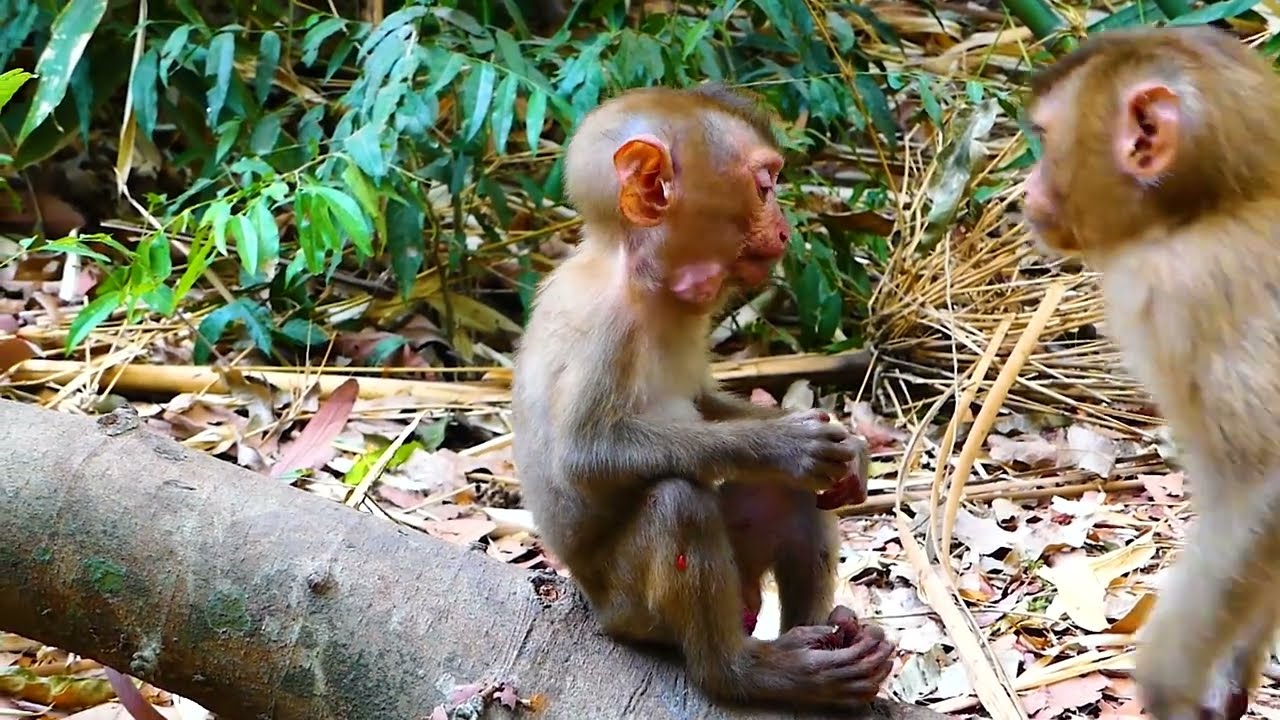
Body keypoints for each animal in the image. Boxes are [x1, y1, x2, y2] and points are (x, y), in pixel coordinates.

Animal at [511, 83, 896, 711]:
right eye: (765, 186)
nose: (785, 229)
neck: (638, 274)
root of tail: (597, 610)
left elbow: (702, 401)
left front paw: (848, 445)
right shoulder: (604, 329)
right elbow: (584, 455)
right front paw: (785, 443)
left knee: (788, 497)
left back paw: (831, 649)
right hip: (631, 608)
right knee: (679, 504)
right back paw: (742, 673)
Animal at [1022, 25, 1280, 720]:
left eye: (1043, 140)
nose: (1025, 186)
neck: (1215, 207)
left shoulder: (1181, 289)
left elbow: (1265, 488)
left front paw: (1170, 681)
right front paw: (1233, 673)